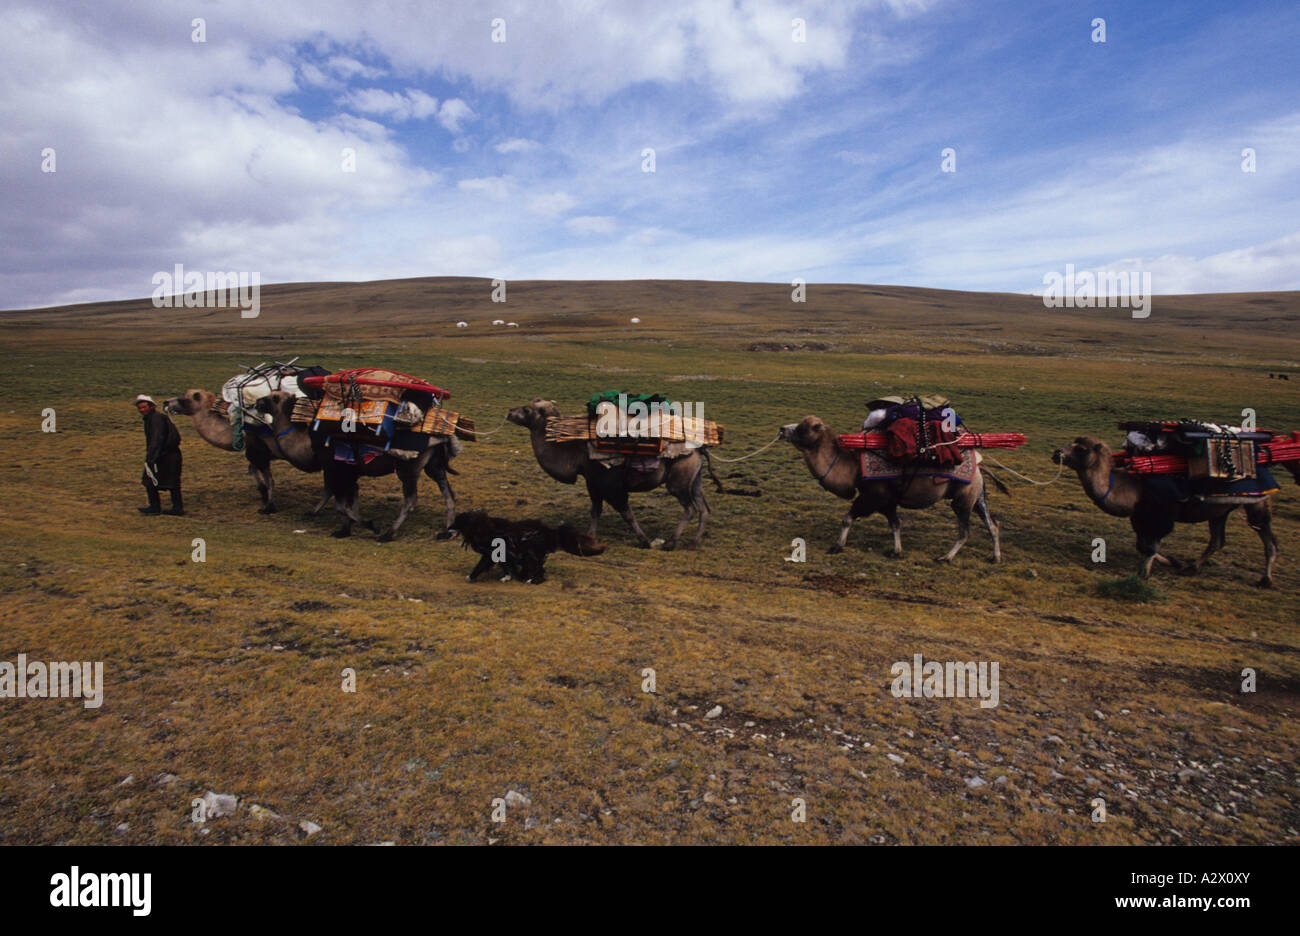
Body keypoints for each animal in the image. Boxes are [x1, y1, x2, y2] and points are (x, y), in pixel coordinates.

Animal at [163, 388, 331, 515]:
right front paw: (263, 494)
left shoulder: (259, 451)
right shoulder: (258, 453)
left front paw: (269, 507)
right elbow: (252, 469)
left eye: (183, 399)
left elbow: (268, 479)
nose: (166, 402)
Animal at [255, 390, 462, 541]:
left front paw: (371, 525)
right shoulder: (346, 471)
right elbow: (348, 498)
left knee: (411, 500)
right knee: (448, 494)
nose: (256, 402)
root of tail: (440, 436)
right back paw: (447, 532)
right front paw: (343, 529)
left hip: (408, 468)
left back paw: (388, 534)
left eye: (273, 397)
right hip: (434, 466)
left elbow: (339, 503)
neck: (308, 442)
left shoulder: (335, 469)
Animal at [507, 398, 718, 549]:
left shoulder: (611, 484)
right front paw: (590, 537)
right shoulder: (592, 483)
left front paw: (644, 541)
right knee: (703, 508)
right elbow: (595, 510)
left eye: (527, 410)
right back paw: (694, 543)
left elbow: (626, 513)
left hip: (678, 481)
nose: (510, 412)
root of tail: (699, 449)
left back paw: (670, 543)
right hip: (694, 480)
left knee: (690, 508)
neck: (577, 454)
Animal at [780, 416, 1001, 562]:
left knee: (965, 531)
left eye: (802, 429)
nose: (782, 429)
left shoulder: (873, 496)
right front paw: (896, 551)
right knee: (992, 524)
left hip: (963, 498)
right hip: (977, 496)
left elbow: (847, 518)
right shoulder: (888, 501)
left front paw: (837, 546)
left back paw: (945, 557)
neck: (853, 468)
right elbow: (896, 524)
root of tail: (979, 466)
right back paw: (995, 557)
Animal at [1053, 436, 1278, 587]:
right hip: (1221, 510)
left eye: (1081, 449)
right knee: (1217, 540)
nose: (1057, 453)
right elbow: (1142, 545)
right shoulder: (1140, 517)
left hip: (1257, 503)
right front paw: (1174, 562)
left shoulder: (1161, 514)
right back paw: (1191, 567)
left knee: (1269, 540)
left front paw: (1144, 573)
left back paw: (1266, 579)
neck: (1134, 488)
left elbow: (1151, 547)